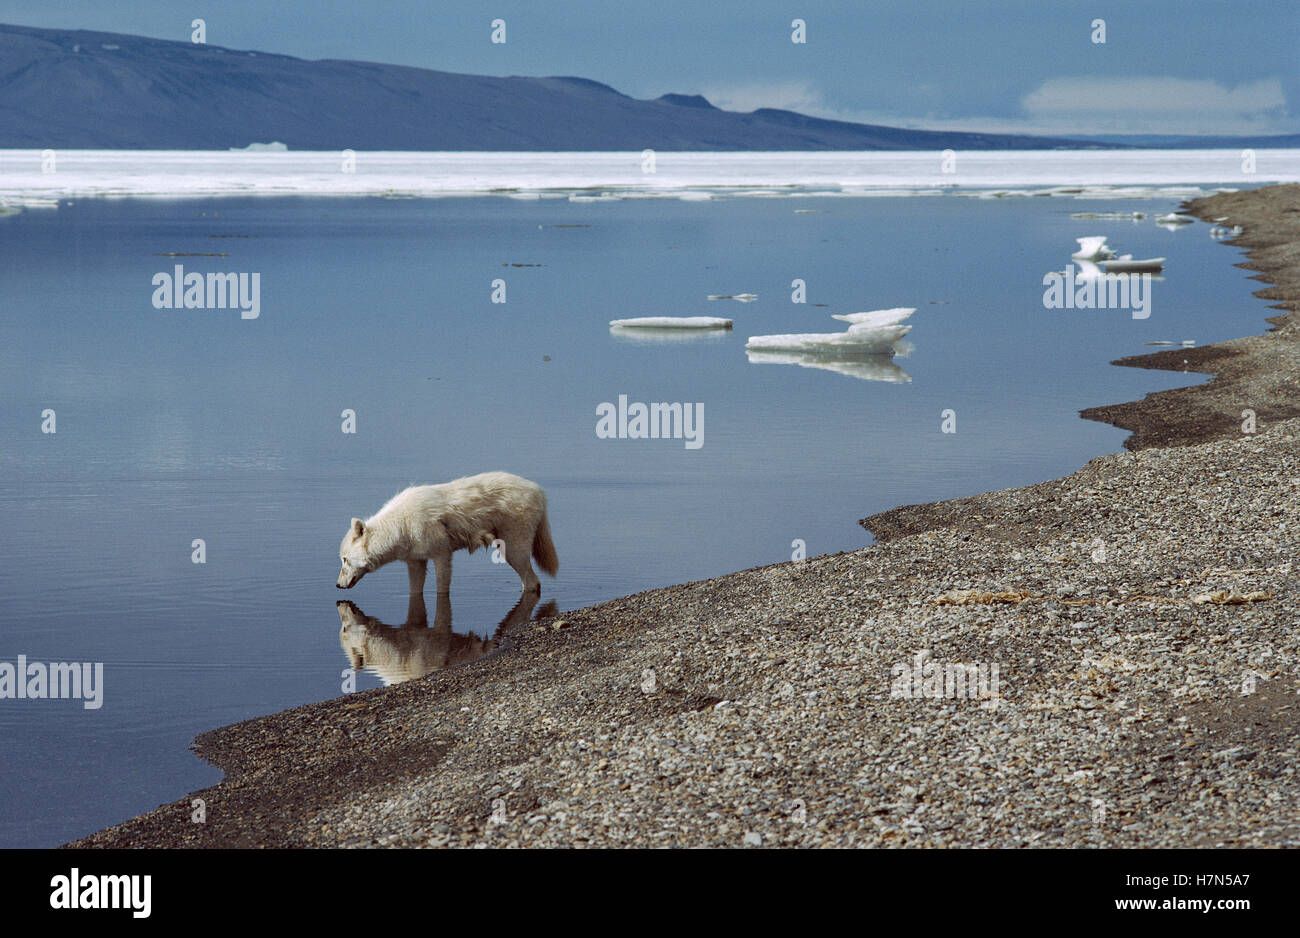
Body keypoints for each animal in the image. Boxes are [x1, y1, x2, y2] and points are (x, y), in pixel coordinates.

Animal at [336, 471, 558, 596]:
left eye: (345, 559)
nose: (338, 585)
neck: (400, 526)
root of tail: (539, 490)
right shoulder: (415, 563)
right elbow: (415, 592)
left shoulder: (442, 556)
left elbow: (441, 590)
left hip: (513, 552)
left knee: (532, 582)